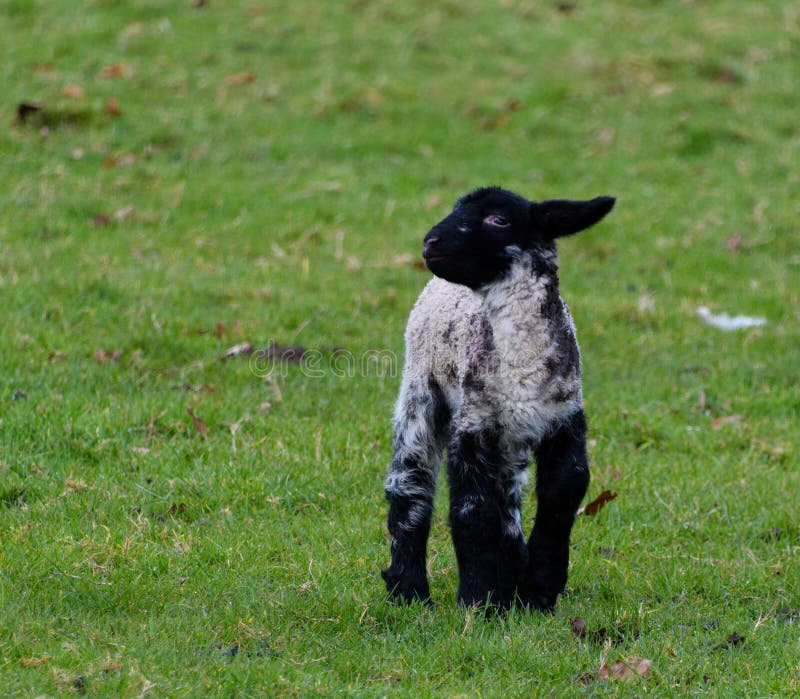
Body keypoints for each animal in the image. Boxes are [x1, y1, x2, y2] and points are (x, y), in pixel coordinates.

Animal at [381, 186, 615, 610]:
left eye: (499, 219)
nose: (430, 242)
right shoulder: (473, 425)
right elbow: (473, 509)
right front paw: (480, 599)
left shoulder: (565, 418)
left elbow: (564, 491)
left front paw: (540, 590)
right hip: (420, 389)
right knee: (409, 483)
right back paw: (409, 589)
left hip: (511, 438)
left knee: (508, 499)